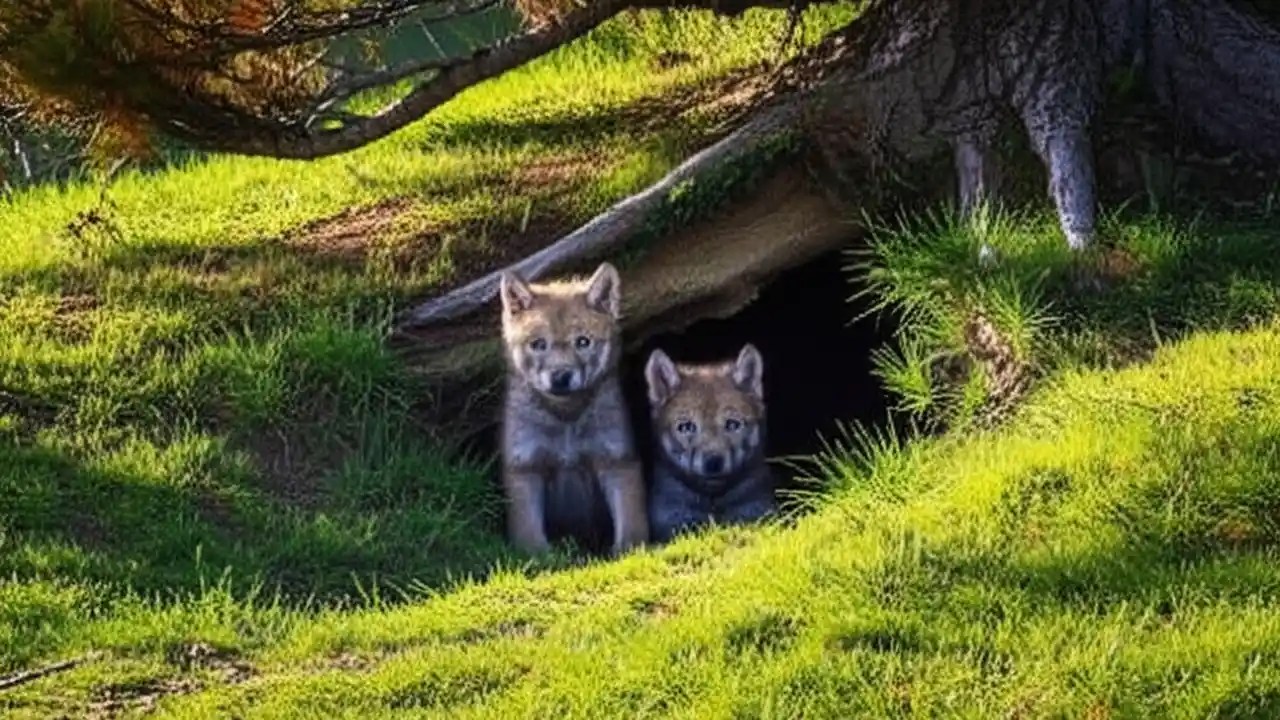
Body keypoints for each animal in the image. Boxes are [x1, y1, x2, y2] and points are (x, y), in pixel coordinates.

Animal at [498, 261, 648, 556]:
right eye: (538, 344)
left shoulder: (617, 462)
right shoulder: (525, 468)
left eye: (583, 342)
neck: (566, 419)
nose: (561, 376)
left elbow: (632, 528)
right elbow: (529, 536)